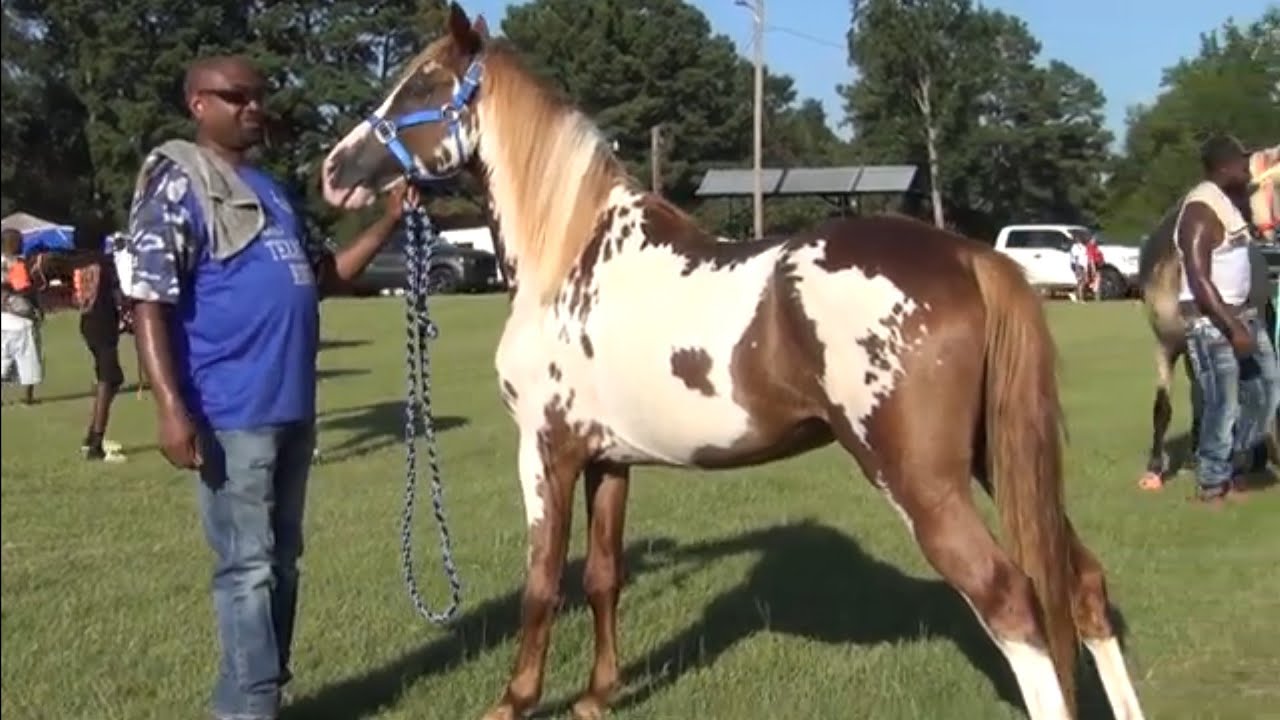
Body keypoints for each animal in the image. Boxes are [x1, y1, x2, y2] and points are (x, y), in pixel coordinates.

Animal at [319, 6, 1145, 719]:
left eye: (423, 84)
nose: (333, 168)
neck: (573, 257)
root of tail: (971, 258)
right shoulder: (608, 459)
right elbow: (604, 576)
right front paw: (596, 696)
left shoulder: (546, 452)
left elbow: (542, 584)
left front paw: (515, 701)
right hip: (993, 458)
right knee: (1083, 585)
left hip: (922, 483)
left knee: (1010, 603)